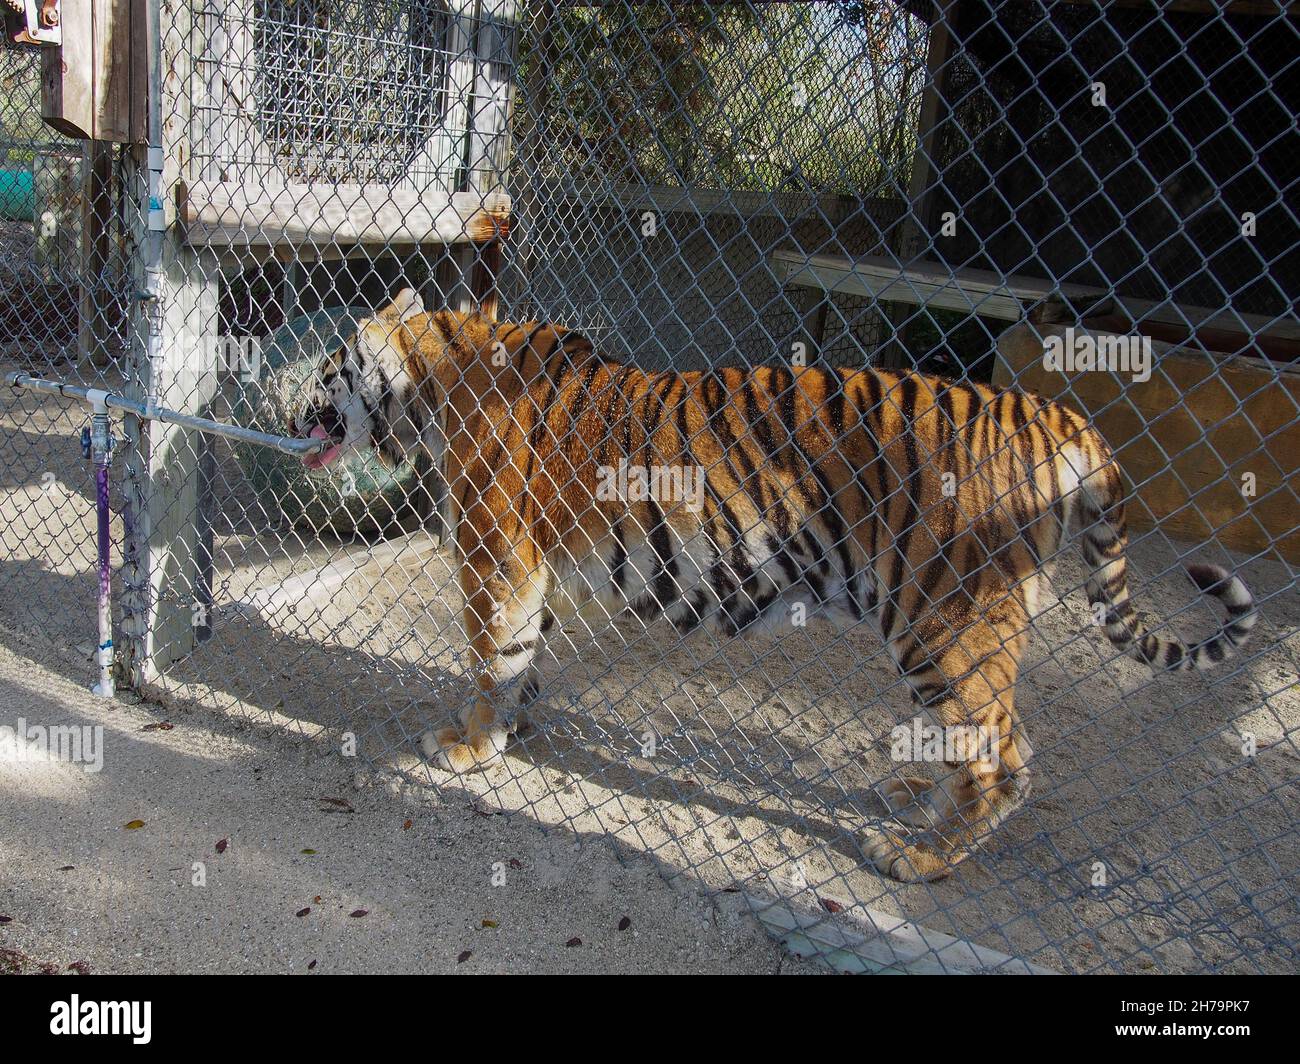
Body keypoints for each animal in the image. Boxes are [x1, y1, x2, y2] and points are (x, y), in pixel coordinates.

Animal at [290, 288, 1257, 882]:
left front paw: (468, 743)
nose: (293, 408)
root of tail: (1053, 411)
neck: (431, 379)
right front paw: (512, 726)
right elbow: (524, 658)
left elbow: (493, 659)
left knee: (1005, 756)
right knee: (983, 739)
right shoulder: (533, 572)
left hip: (942, 619)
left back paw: (919, 857)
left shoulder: (496, 561)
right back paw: (913, 801)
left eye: (329, 362)